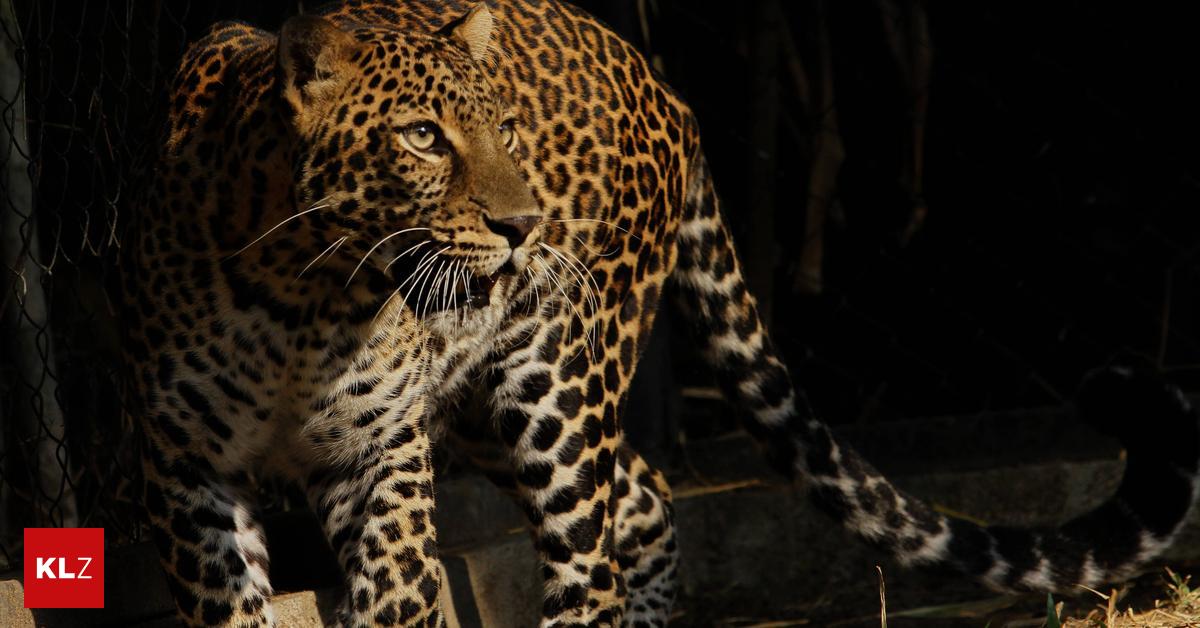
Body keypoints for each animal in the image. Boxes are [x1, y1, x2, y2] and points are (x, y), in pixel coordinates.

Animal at [122, 0, 1200, 626]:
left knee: (589, 555)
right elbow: (230, 608)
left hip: (552, 386)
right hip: (484, 416)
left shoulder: (379, 455)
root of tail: (659, 76)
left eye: (501, 126)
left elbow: (396, 592)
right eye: (422, 136)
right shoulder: (187, 466)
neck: (307, 295)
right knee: (641, 496)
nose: (521, 226)